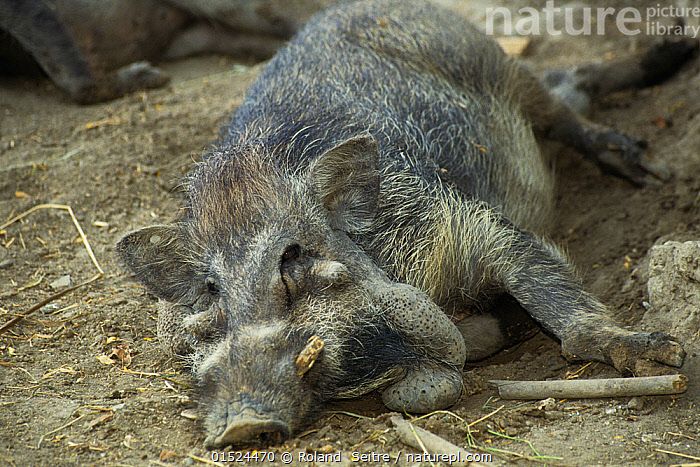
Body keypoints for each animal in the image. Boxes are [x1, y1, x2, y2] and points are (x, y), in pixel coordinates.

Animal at [117, 0, 692, 449]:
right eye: (209, 291)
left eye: (293, 257)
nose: (243, 426)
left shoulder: (474, 229)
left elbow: (556, 301)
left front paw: (664, 356)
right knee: (568, 83)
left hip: (493, 62)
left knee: (557, 107)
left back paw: (651, 150)